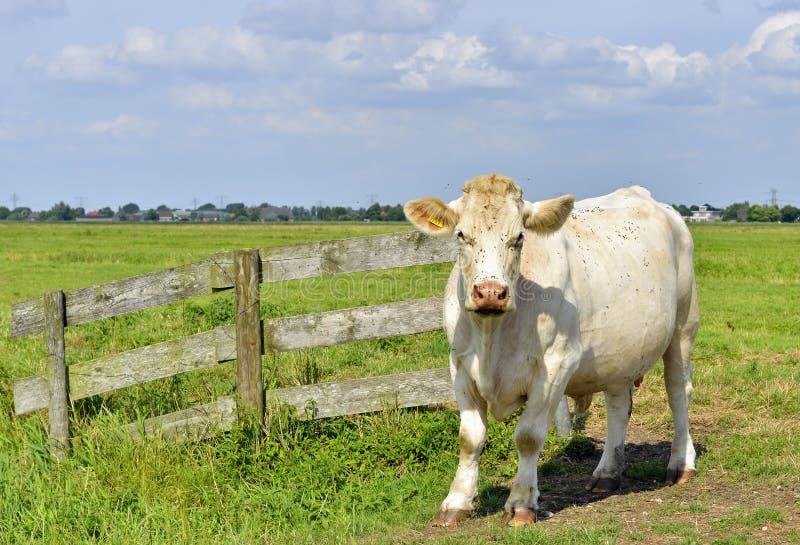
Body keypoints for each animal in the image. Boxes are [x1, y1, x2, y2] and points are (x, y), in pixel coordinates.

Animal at [404, 174, 698, 527]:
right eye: (461, 234)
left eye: (519, 237)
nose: (490, 292)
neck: (492, 336)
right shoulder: (460, 365)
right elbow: (470, 437)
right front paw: (456, 502)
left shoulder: (557, 363)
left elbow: (528, 436)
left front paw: (521, 504)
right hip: (619, 353)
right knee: (618, 405)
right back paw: (607, 473)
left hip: (683, 328)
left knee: (678, 392)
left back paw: (681, 463)